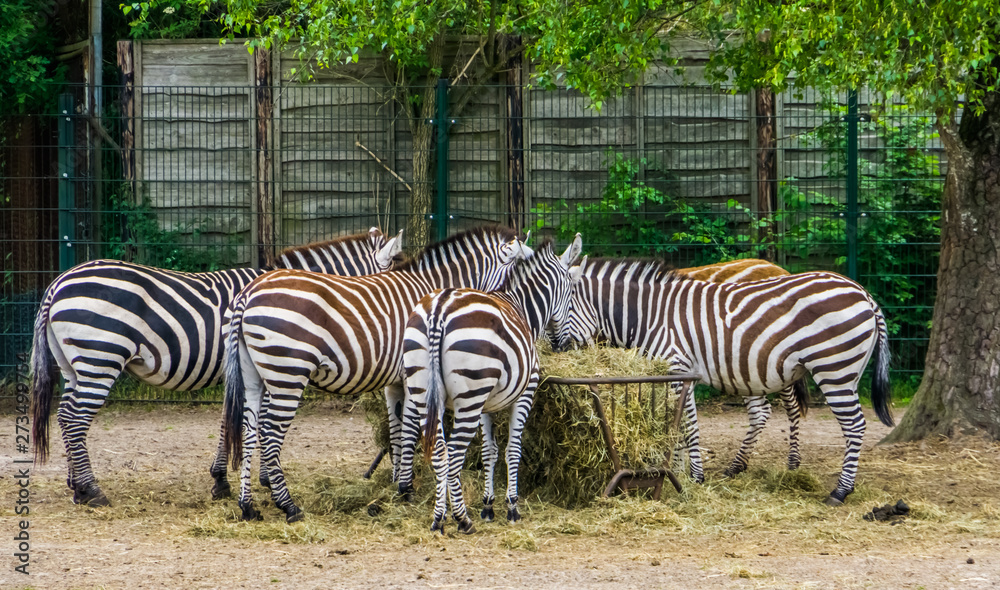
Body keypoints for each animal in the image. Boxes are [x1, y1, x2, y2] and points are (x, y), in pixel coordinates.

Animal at [29, 227, 402, 507]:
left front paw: (226, 479)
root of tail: (58, 283)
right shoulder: (264, 366)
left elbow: (230, 421)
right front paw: (253, 479)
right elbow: (249, 422)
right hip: (100, 356)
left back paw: (76, 486)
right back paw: (92, 491)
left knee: (64, 415)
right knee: (76, 419)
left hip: (73, 364)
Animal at [221, 226, 528, 522]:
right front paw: (406, 488)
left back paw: (248, 507)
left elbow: (396, 431)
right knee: (270, 433)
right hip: (287, 373)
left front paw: (396, 482)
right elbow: (410, 430)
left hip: (254, 375)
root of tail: (249, 292)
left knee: (249, 428)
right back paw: (288, 506)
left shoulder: (396, 382)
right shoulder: (413, 378)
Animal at [396, 236, 585, 534]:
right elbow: (512, 451)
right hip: (469, 397)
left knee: (439, 452)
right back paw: (462, 519)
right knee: (453, 454)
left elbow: (489, 452)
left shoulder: (486, 404)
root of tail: (439, 308)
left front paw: (488, 505)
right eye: (572, 296)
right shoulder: (524, 393)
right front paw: (512, 507)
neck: (522, 308)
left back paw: (439, 519)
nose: (562, 346)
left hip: (424, 390)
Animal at [555, 258, 893, 505]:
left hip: (833, 369)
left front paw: (694, 477)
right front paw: (678, 473)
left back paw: (840, 491)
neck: (648, 316)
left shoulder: (679, 368)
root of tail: (864, 294)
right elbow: (677, 426)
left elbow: (687, 425)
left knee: (853, 425)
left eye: (562, 309)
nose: (555, 346)